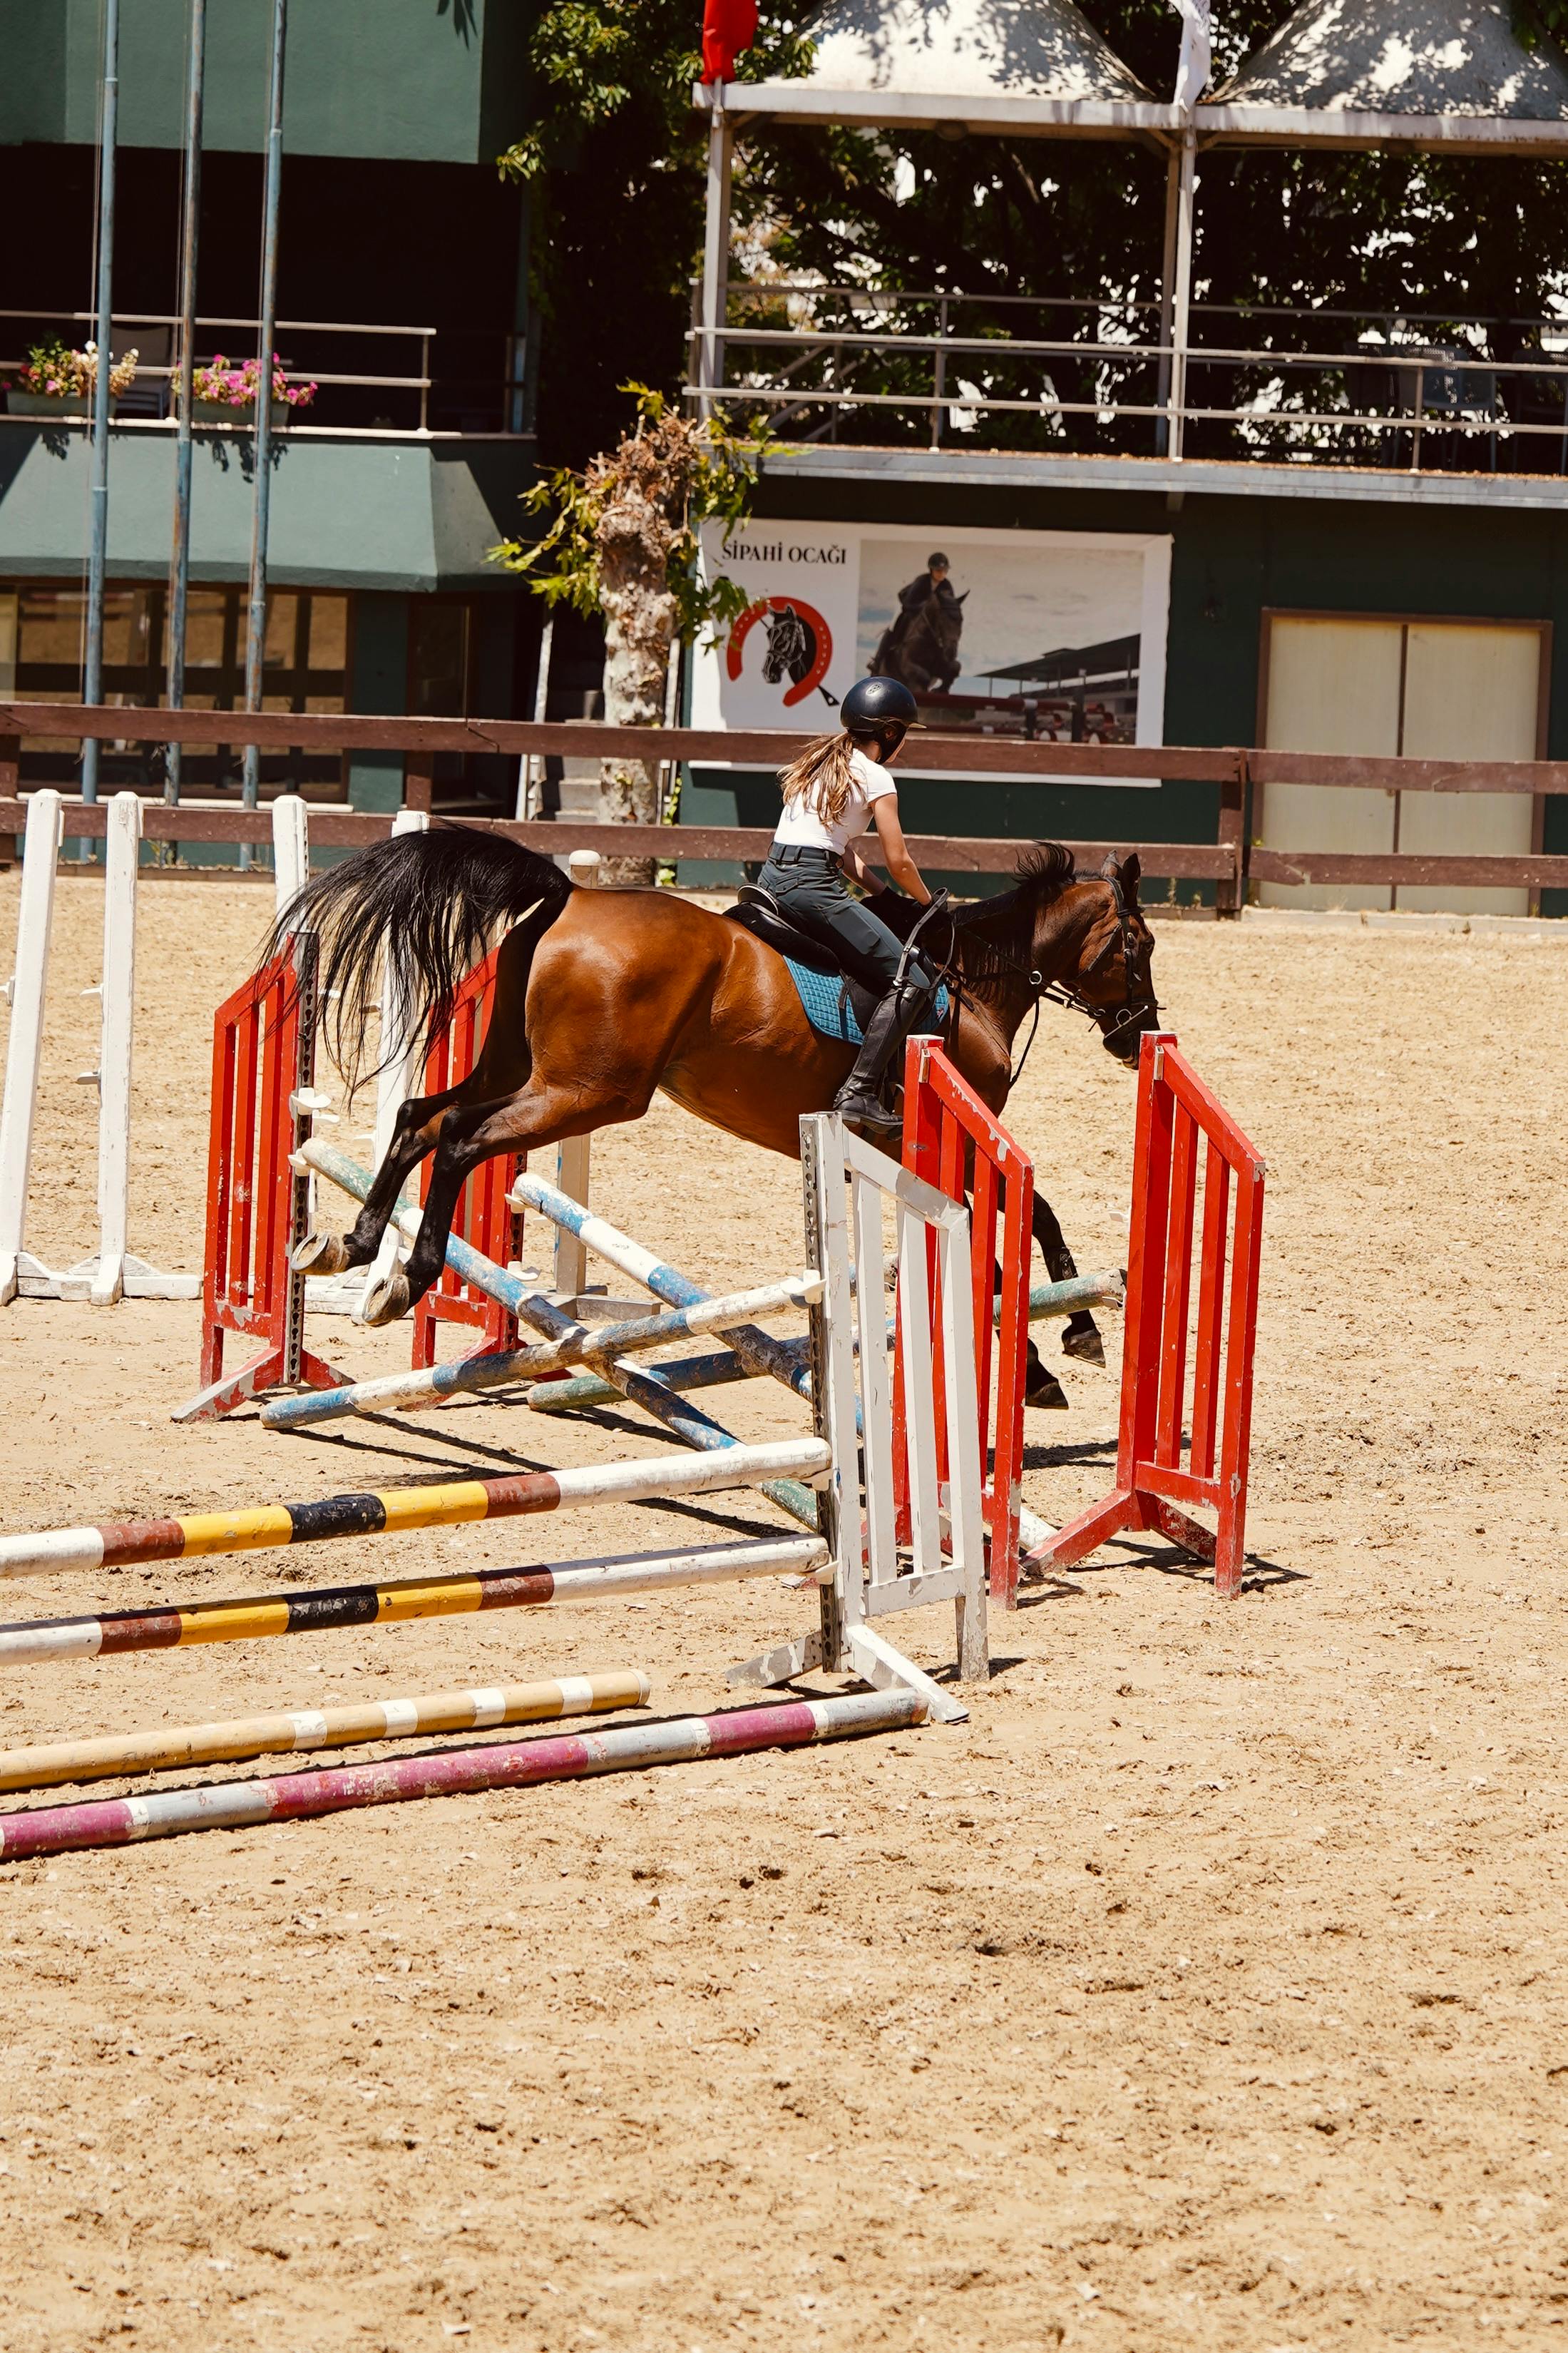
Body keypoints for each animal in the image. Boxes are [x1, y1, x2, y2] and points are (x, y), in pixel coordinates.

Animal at [278, 834, 1161, 1410]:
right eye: (1140, 944)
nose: (1136, 1035)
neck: (971, 981)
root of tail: (571, 896)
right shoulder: (939, 1140)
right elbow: (1018, 1229)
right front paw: (1064, 1345)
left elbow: (1010, 1230)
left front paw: (1058, 1343)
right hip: (588, 1092)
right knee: (459, 1136)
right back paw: (411, 1271)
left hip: (522, 1071)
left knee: (421, 1119)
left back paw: (356, 1247)